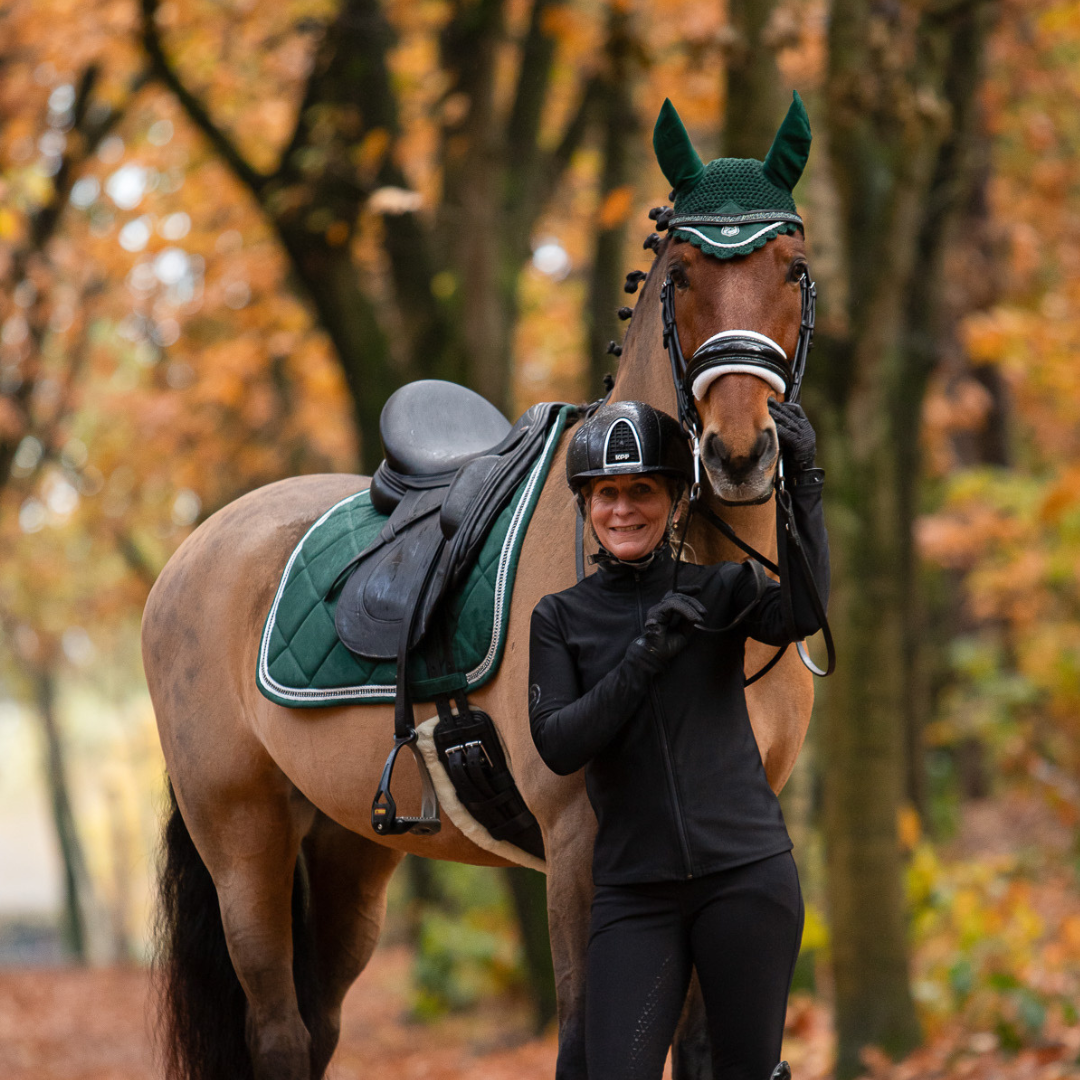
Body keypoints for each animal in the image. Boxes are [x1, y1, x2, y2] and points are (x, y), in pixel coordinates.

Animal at [142, 222, 815, 1080]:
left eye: (793, 272)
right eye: (687, 276)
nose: (739, 450)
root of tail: (191, 553)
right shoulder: (581, 848)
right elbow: (587, 1043)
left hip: (345, 847)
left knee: (319, 1023)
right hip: (241, 838)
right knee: (279, 1035)